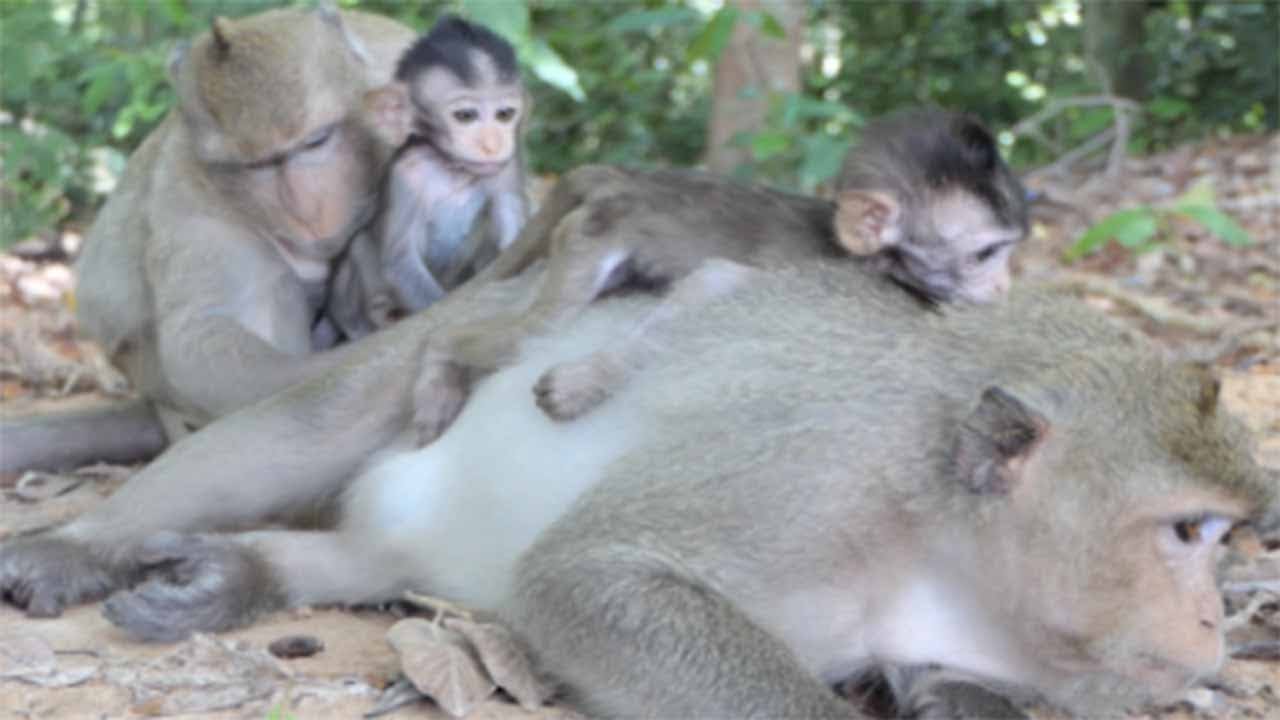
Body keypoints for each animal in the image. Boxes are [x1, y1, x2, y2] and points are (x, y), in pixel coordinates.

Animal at [2, 258, 1266, 719]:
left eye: (1223, 540)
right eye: (1186, 531)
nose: (1212, 622)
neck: (939, 543)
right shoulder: (814, 473)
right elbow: (593, 578)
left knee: (369, 555)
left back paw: (244, 573)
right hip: (442, 349)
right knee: (304, 430)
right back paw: (84, 541)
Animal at [321, 16, 529, 342]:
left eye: (505, 114)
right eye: (466, 116)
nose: (493, 144)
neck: (452, 168)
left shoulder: (506, 166)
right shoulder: (407, 175)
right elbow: (400, 259)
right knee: (359, 246)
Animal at [407, 108, 1030, 442]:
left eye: (1009, 251)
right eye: (986, 254)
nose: (1004, 287)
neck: (860, 257)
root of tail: (625, 179)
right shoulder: (807, 275)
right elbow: (716, 281)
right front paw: (590, 380)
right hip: (588, 240)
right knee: (536, 328)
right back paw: (441, 355)